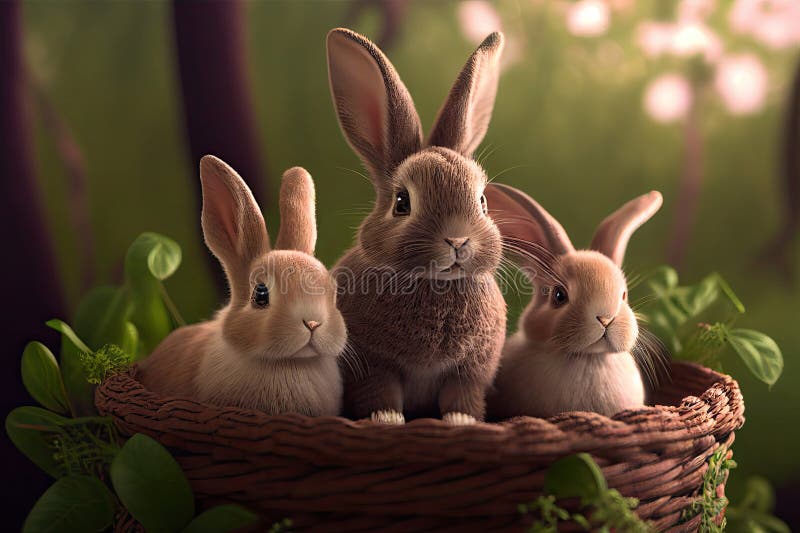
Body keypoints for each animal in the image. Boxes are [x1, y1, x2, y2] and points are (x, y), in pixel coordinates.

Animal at [325, 28, 507, 425]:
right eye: (401, 203)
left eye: (482, 201)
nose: (458, 240)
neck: (437, 285)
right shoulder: (372, 365)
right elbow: (380, 393)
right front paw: (386, 419)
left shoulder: (471, 370)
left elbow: (462, 398)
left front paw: (462, 422)